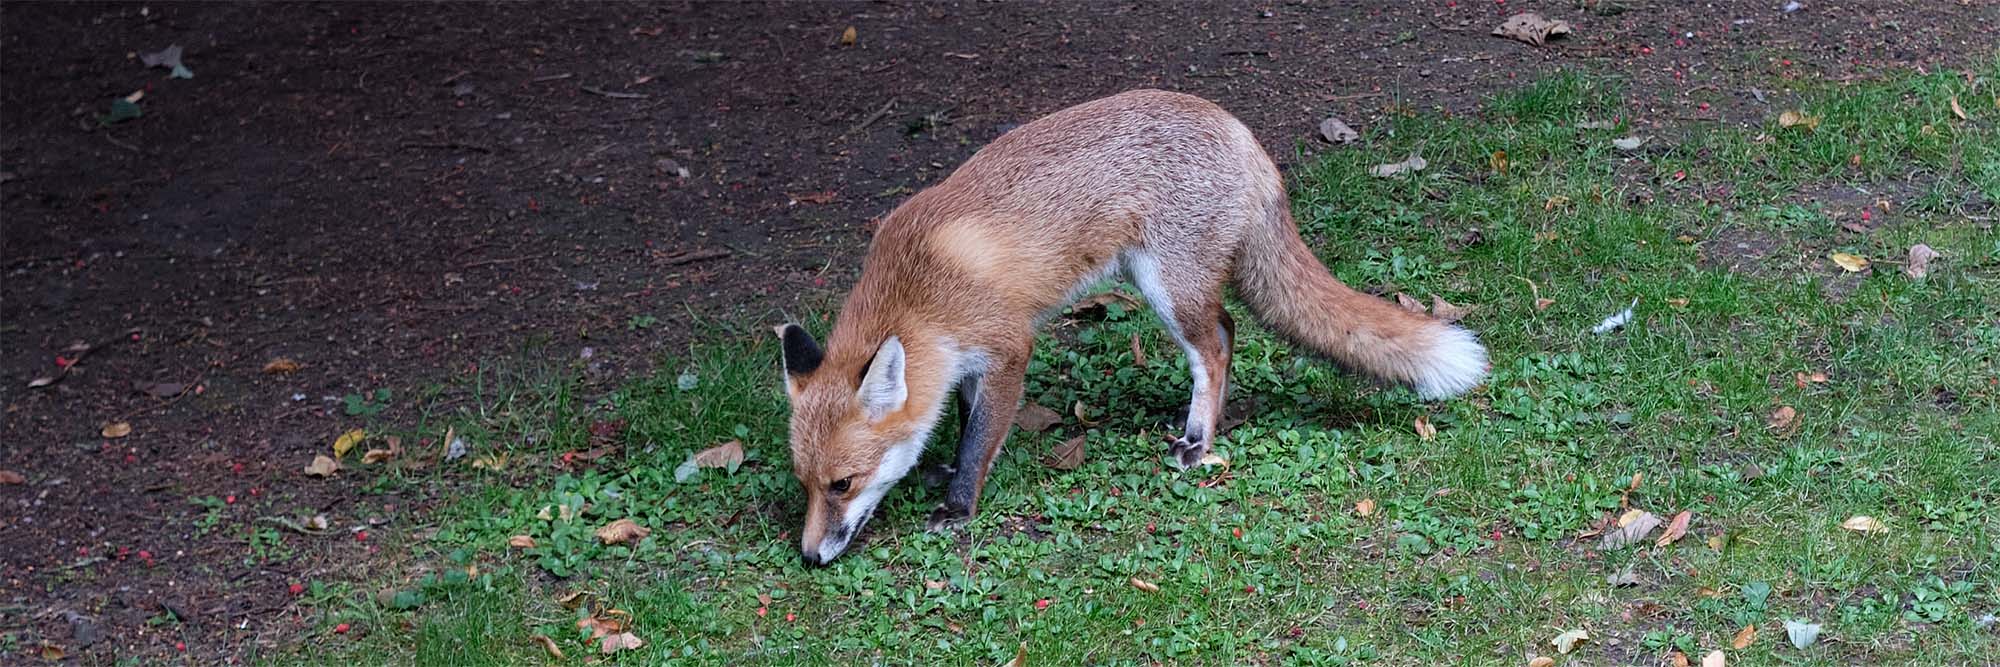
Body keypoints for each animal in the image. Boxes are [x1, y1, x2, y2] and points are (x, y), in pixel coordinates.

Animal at [776, 89, 1488, 565]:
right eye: (806, 484)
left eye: (843, 484)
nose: (809, 558)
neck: (918, 291)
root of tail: (1240, 132)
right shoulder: (966, 363)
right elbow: (961, 424)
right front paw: (944, 470)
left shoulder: (1009, 348)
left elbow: (980, 439)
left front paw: (959, 505)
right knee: (1230, 329)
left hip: (1167, 288)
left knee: (1217, 345)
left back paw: (1199, 440)